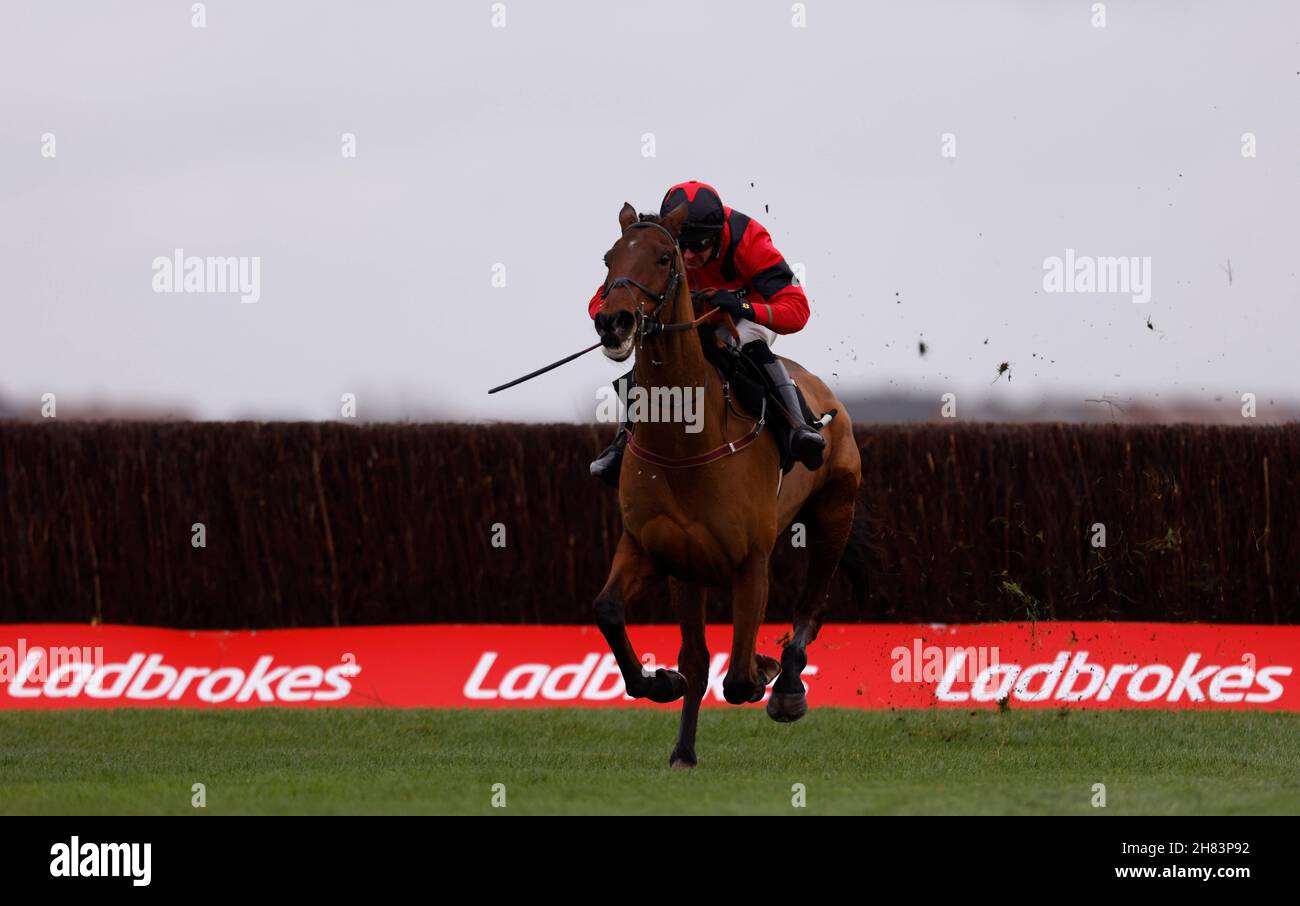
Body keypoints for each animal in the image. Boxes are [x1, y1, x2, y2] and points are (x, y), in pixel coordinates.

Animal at [589, 200, 863, 768]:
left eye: (665, 257)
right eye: (609, 257)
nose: (612, 320)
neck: (684, 445)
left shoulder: (750, 562)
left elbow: (737, 679)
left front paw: (763, 671)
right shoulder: (652, 550)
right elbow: (611, 612)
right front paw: (661, 684)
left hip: (834, 515)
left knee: (811, 607)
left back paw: (787, 687)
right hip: (690, 573)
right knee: (698, 657)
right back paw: (685, 747)